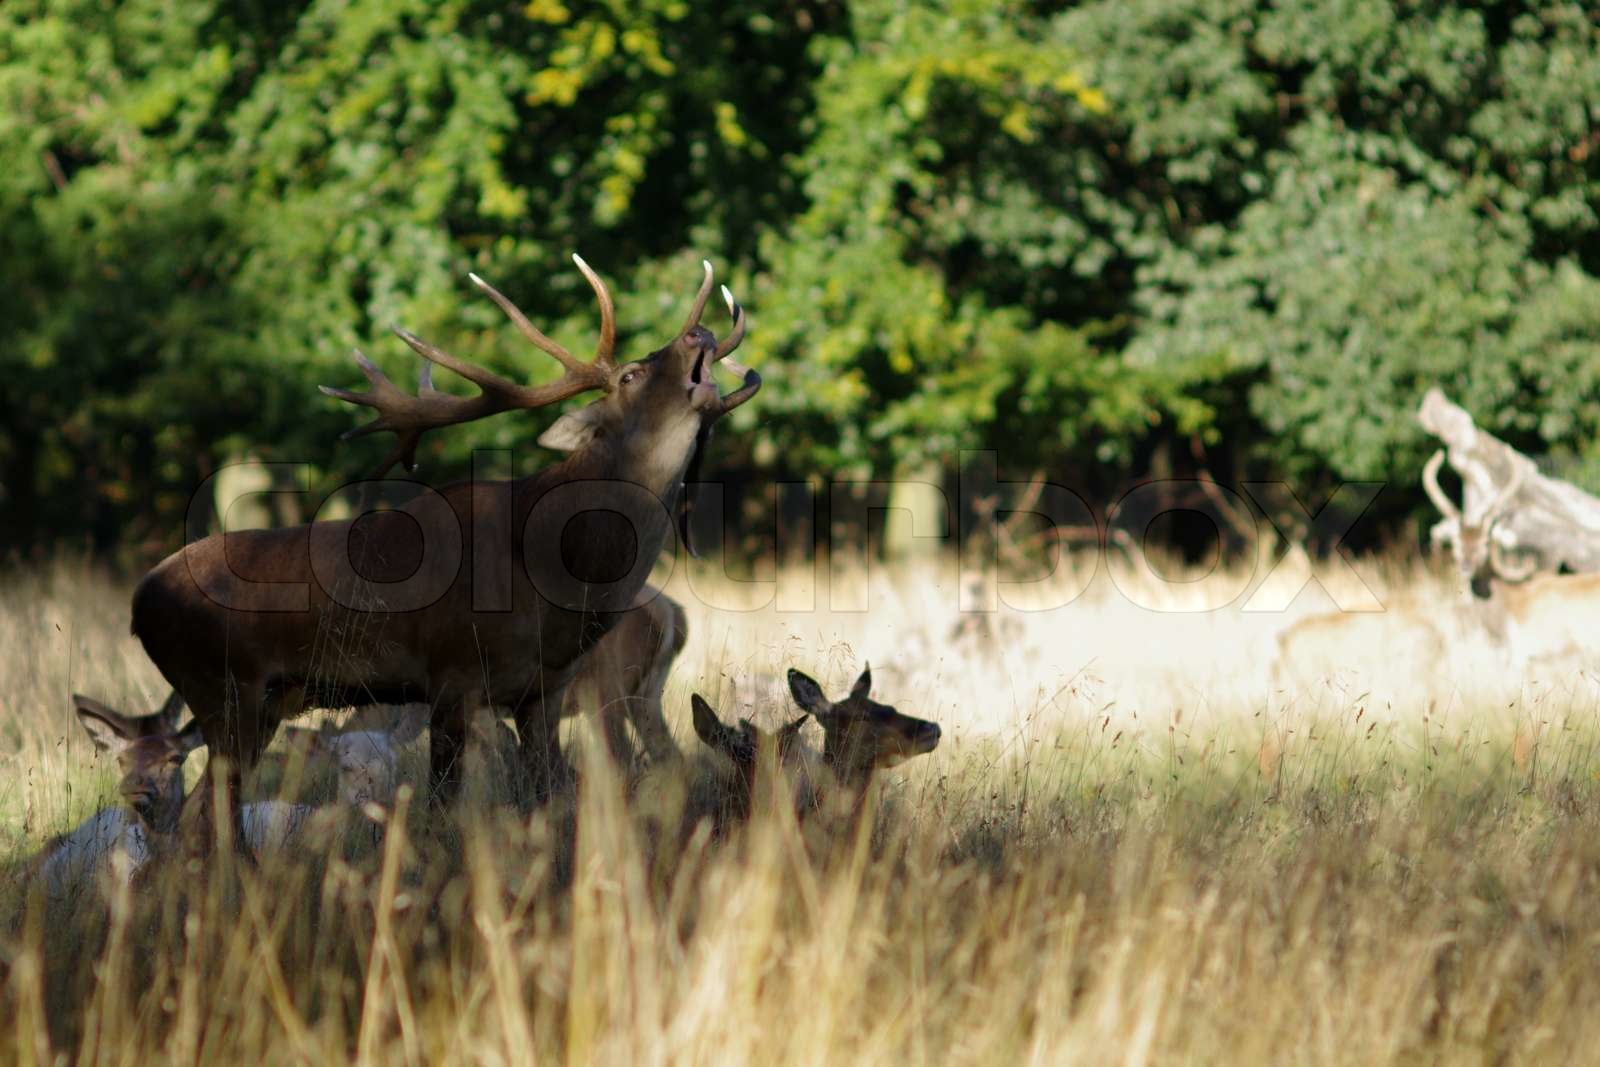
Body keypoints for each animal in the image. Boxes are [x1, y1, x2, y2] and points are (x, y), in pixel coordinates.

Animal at [117, 257, 757, 845]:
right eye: (630, 375)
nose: (699, 334)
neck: (559, 577)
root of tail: (138, 601)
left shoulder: (544, 691)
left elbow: (551, 800)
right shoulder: (452, 674)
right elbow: (443, 810)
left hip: (260, 702)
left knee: (201, 813)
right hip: (220, 689)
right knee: (210, 816)